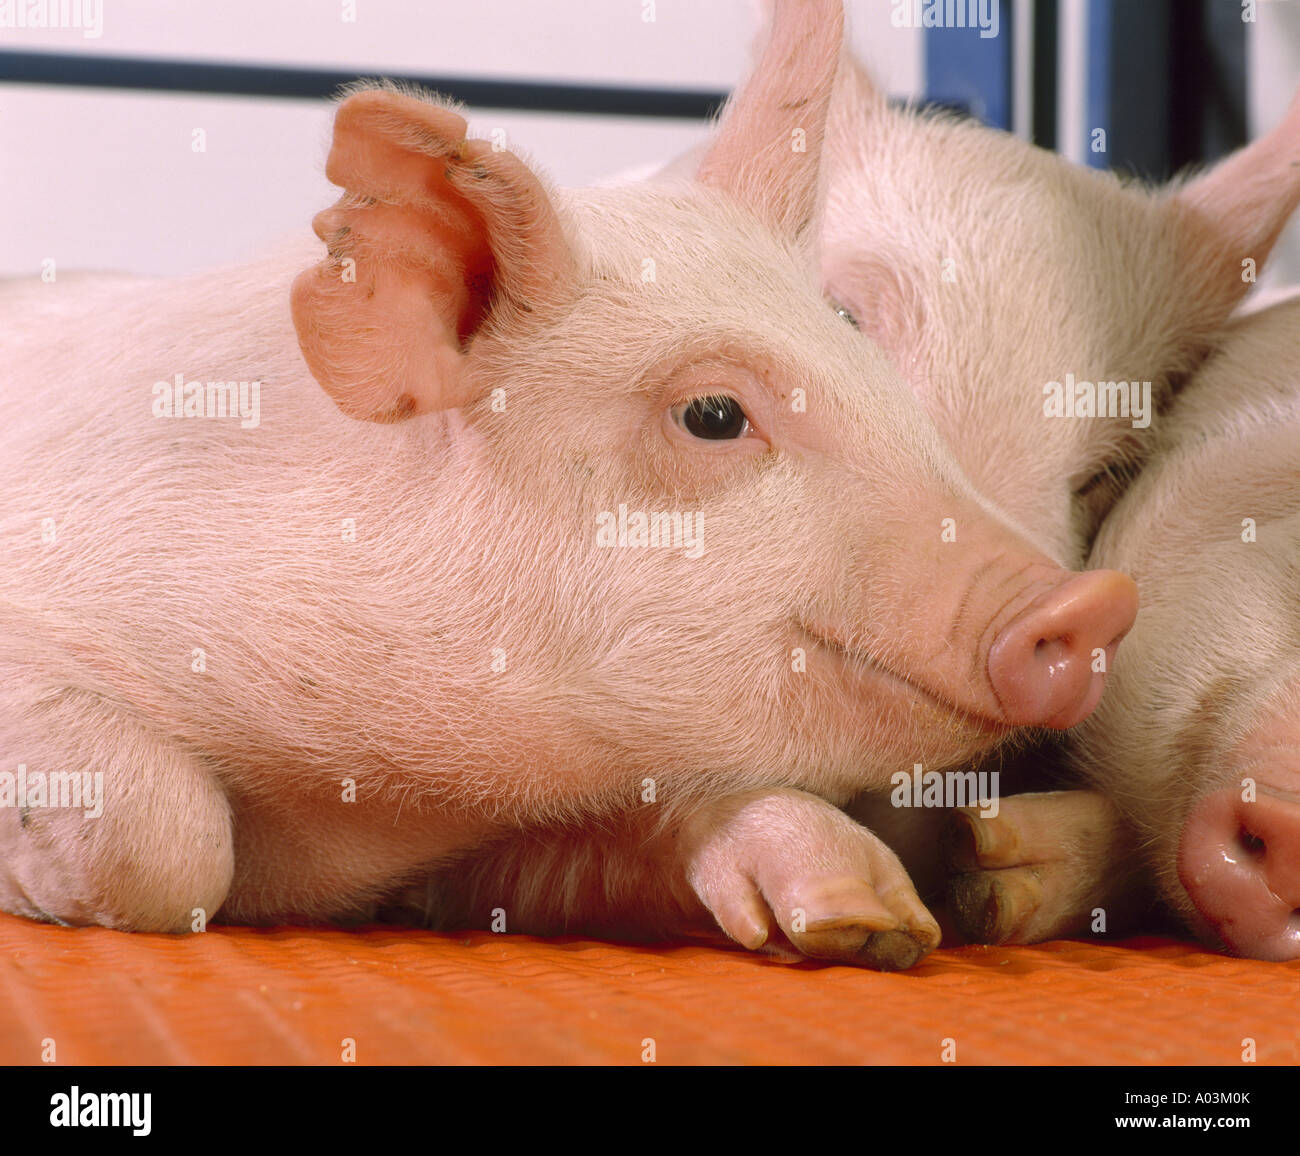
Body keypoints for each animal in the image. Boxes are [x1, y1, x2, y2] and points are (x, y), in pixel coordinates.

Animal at [0, 0, 1138, 971]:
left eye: (858, 344)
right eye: (712, 414)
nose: (1091, 601)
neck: (369, 811)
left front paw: (872, 924)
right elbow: (170, 840)